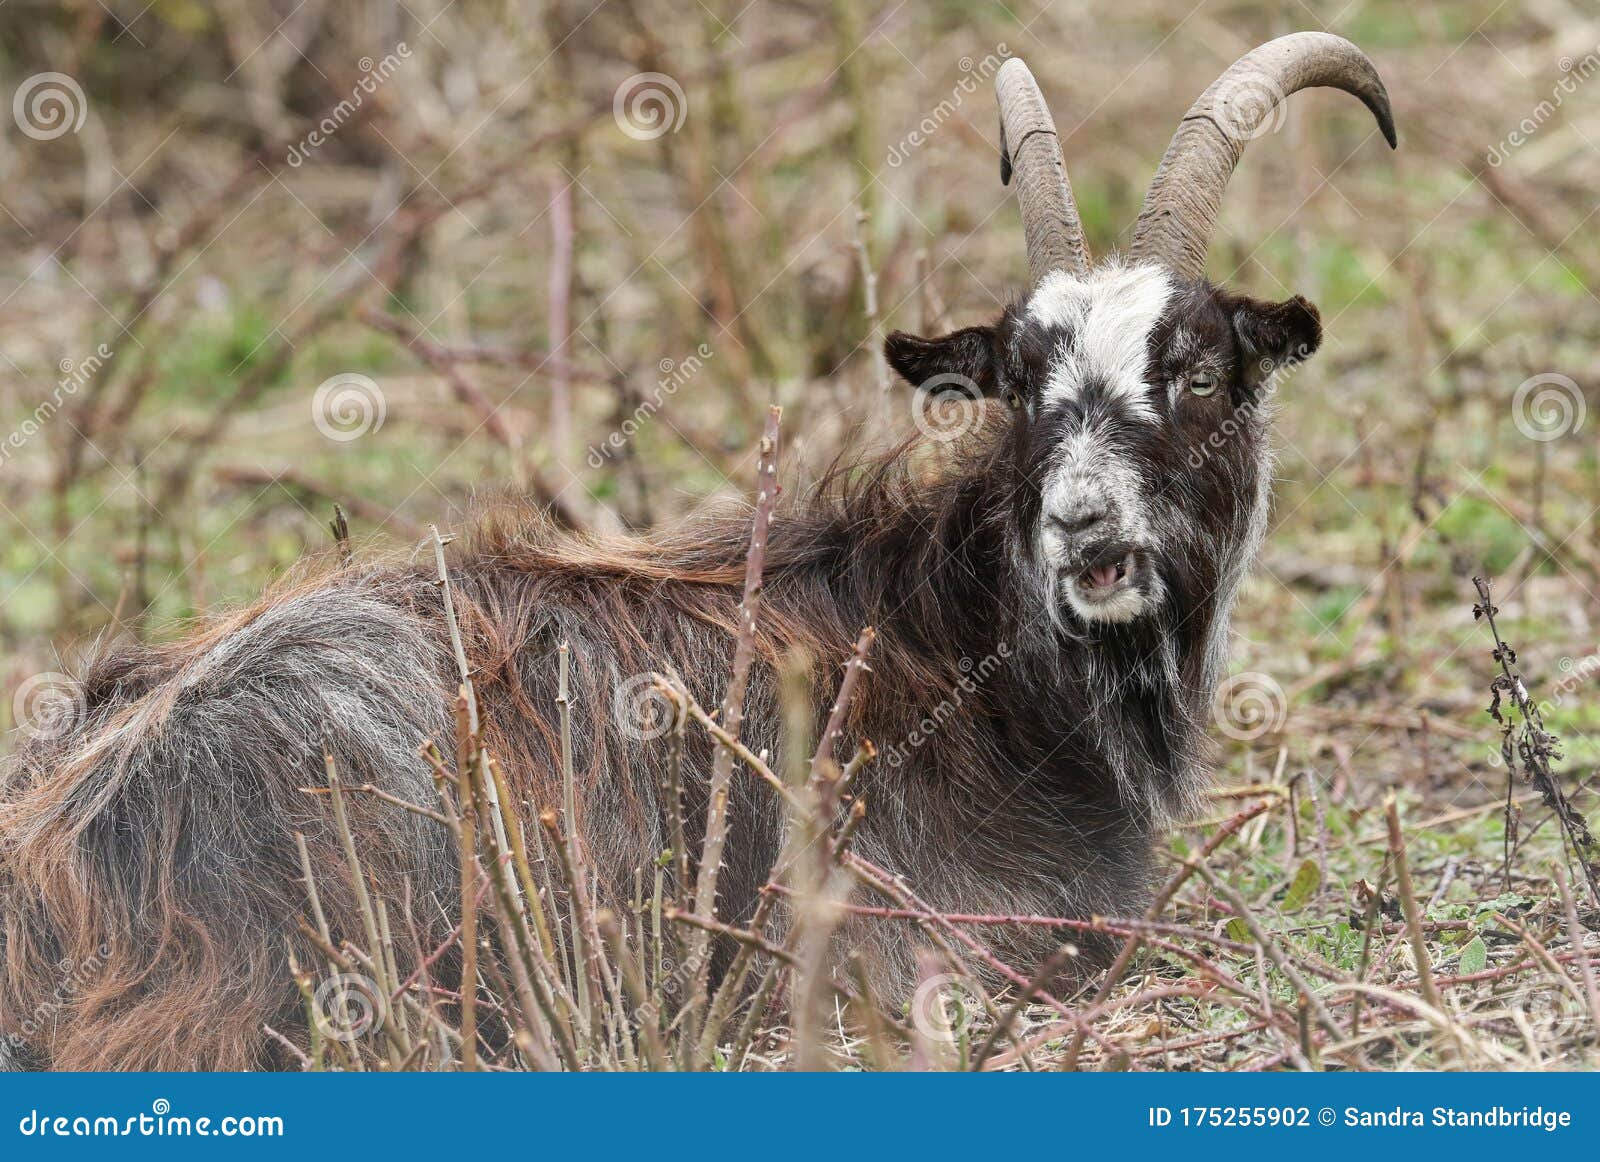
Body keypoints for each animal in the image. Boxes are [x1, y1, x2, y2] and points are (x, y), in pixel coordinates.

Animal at [0, 33, 1395, 1070]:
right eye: (1017, 388)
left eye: (1200, 369)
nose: (1082, 523)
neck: (969, 650)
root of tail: (59, 846)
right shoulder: (941, 938)